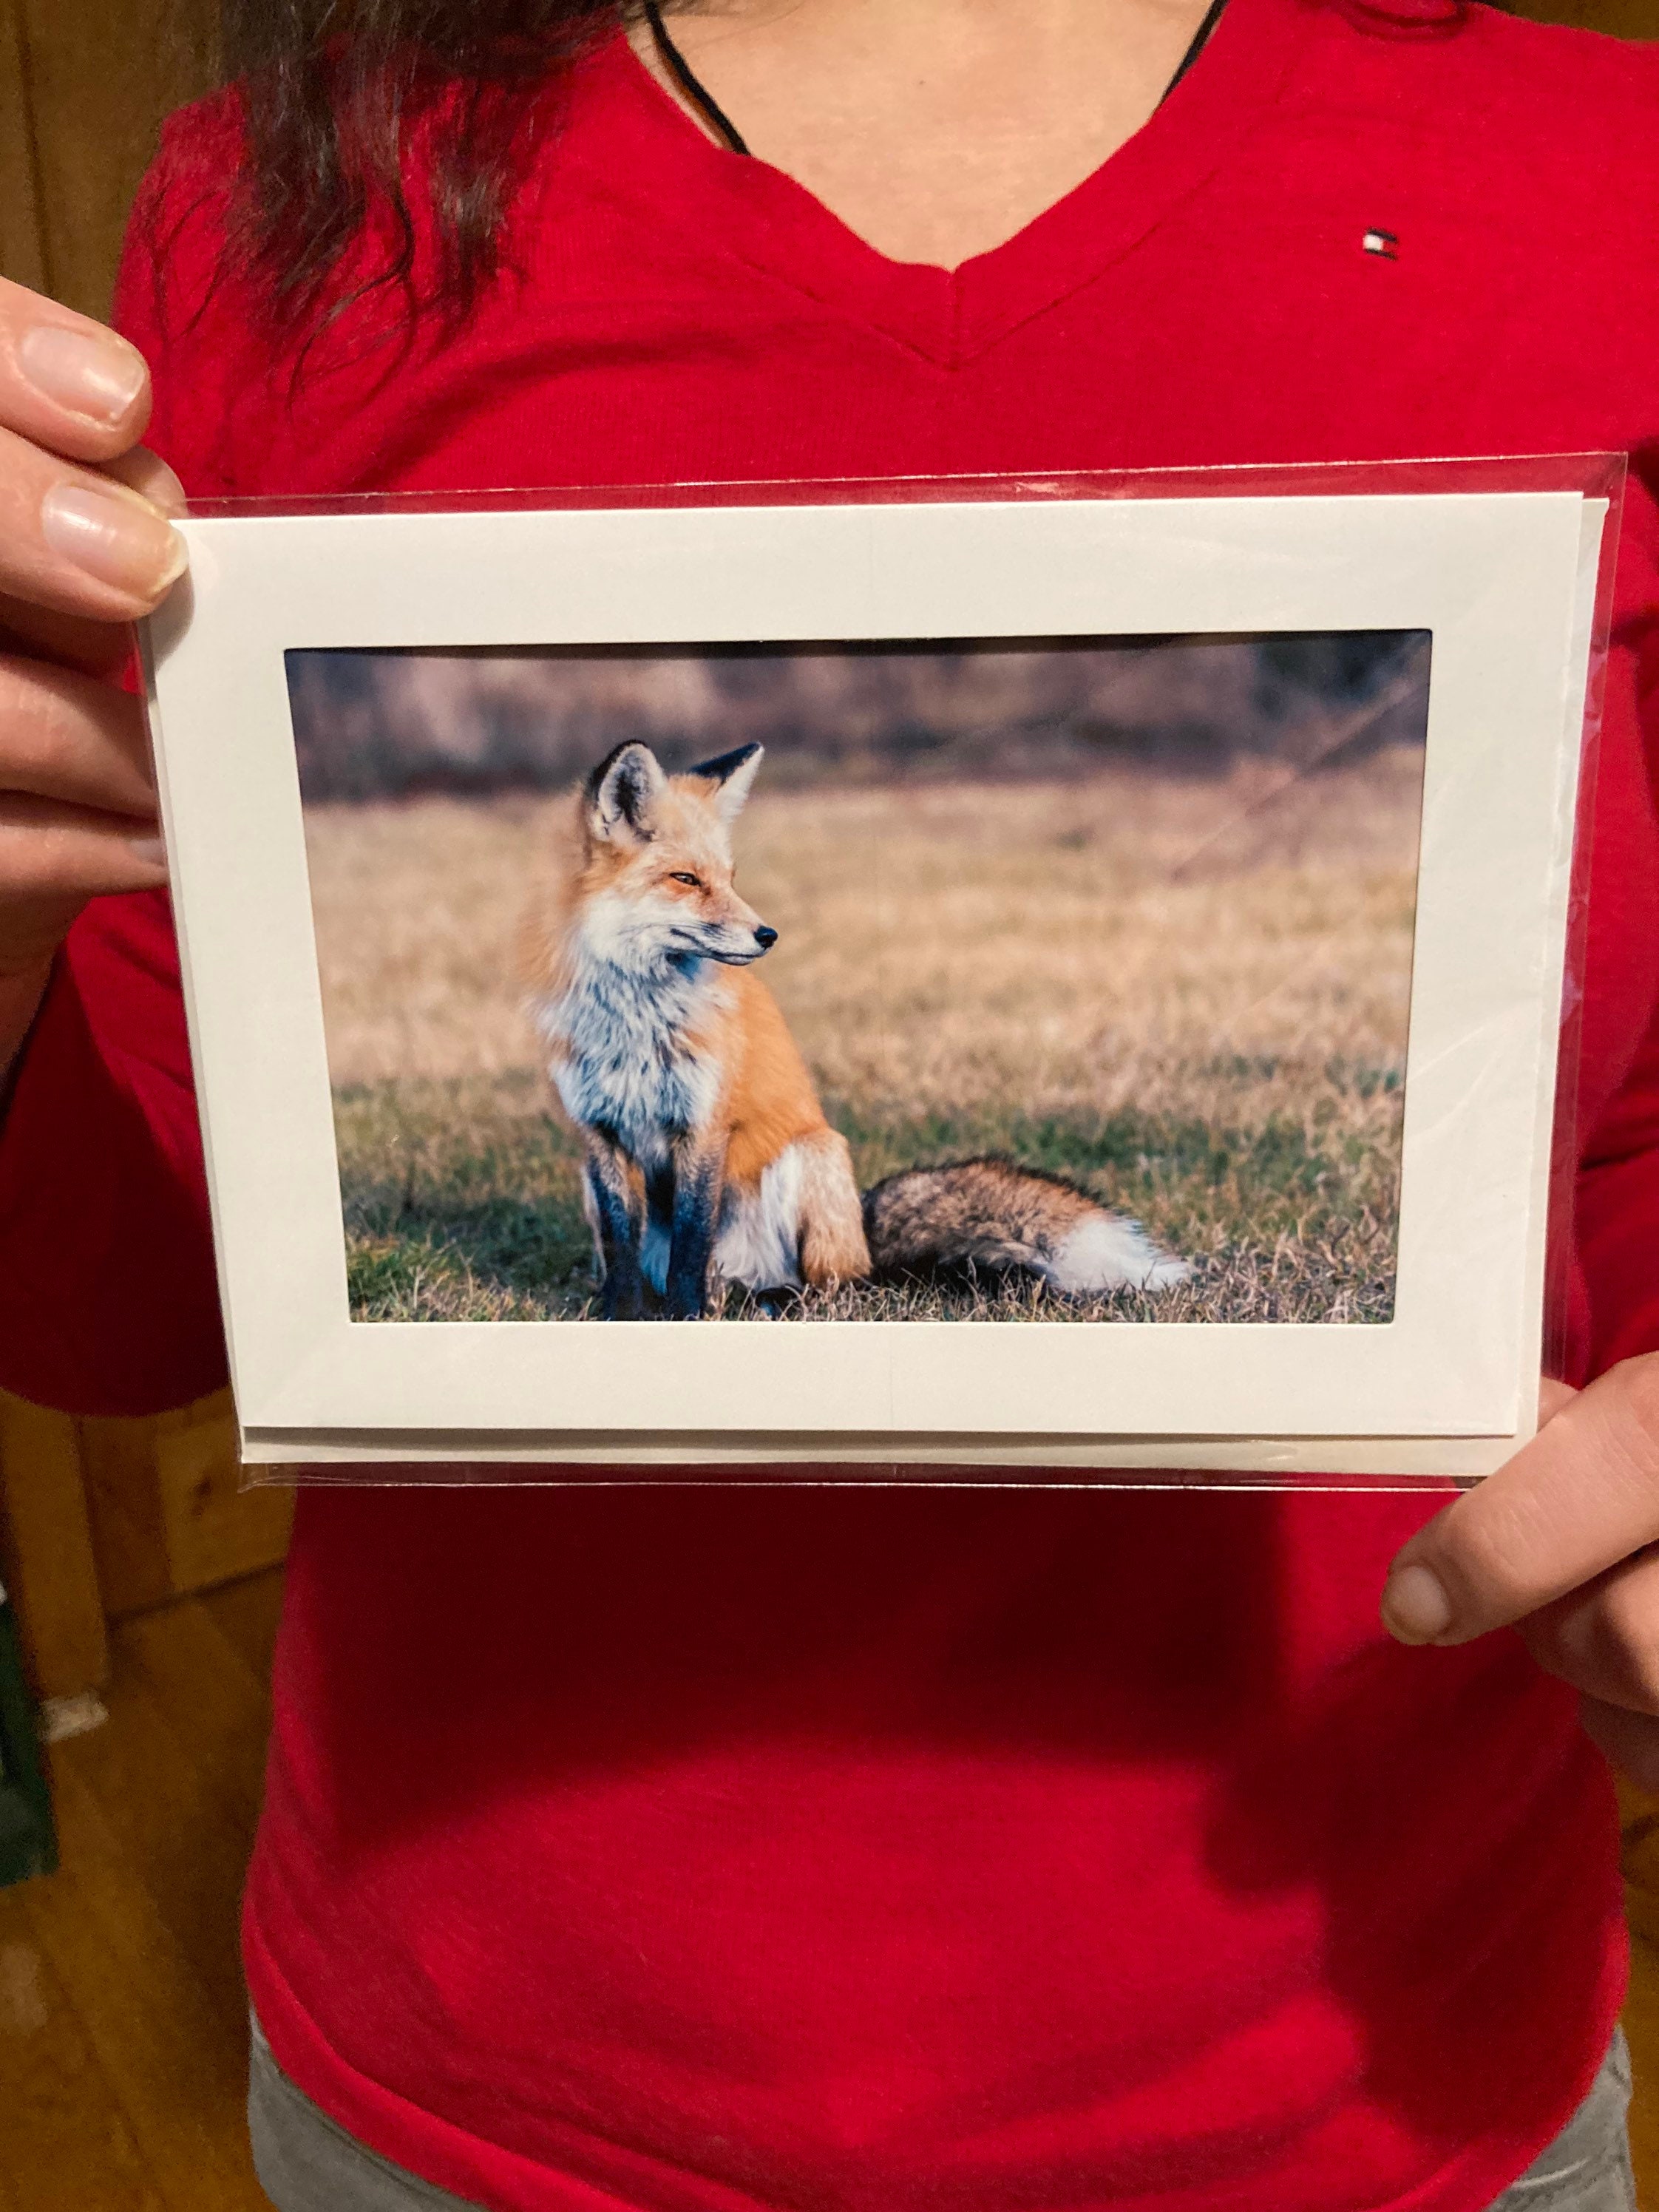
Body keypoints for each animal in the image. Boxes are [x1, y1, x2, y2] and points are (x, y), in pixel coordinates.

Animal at [518, 739, 1188, 1319]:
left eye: (731, 878)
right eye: (686, 879)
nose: (768, 935)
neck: (635, 1017)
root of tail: (865, 1236)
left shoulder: (703, 1126)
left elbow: (690, 1246)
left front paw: (685, 1319)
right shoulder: (599, 1136)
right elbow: (623, 1251)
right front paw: (623, 1316)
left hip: (811, 1157)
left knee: (829, 1284)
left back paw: (778, 1299)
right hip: (591, 1180)